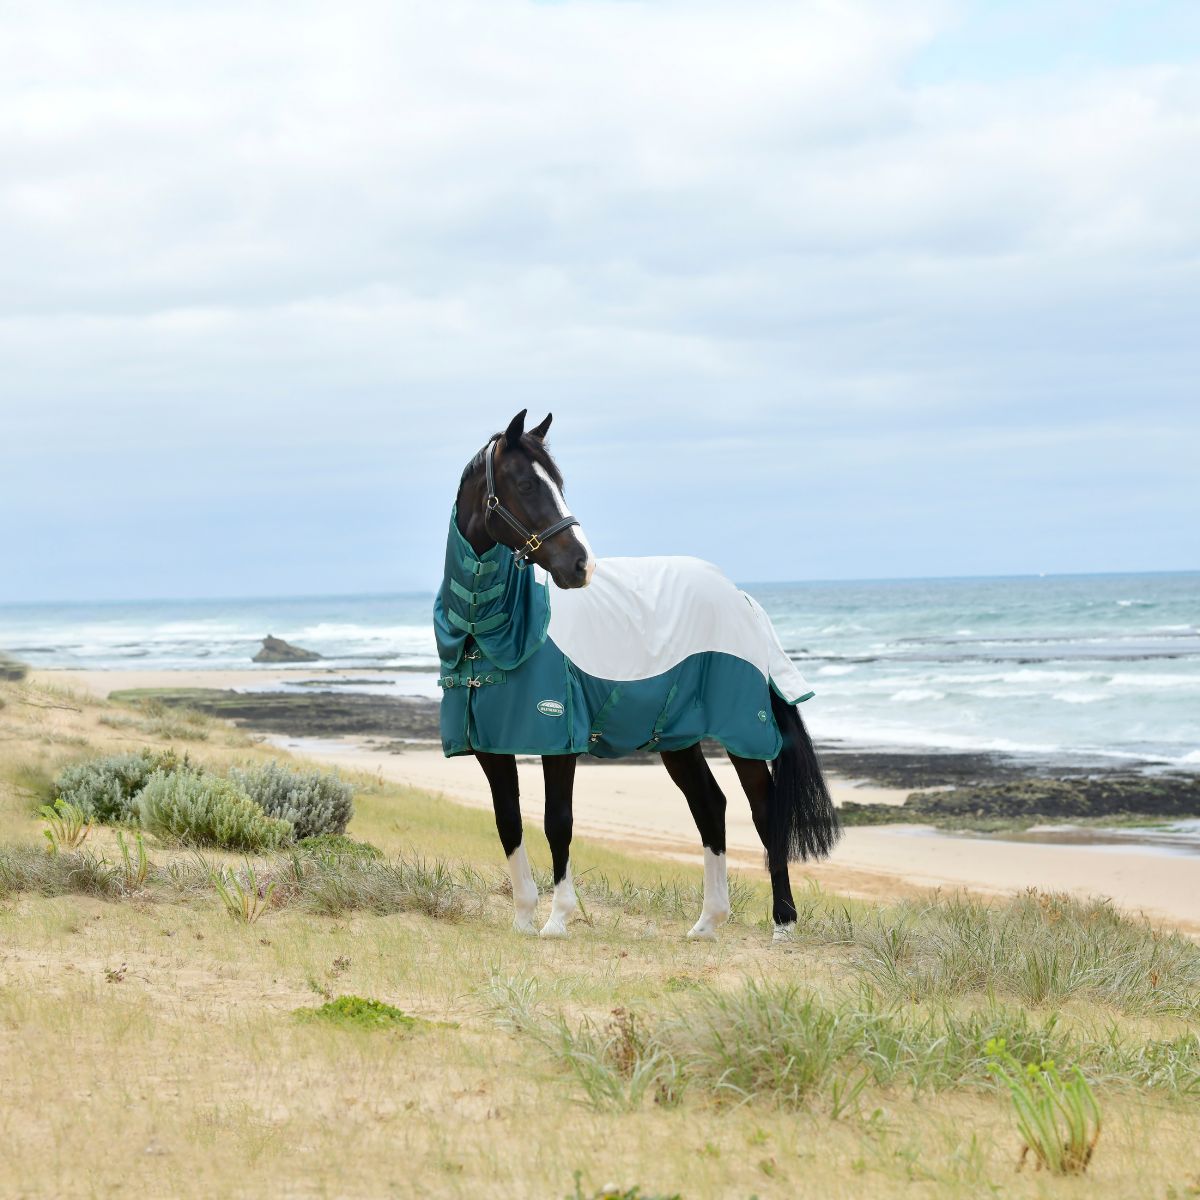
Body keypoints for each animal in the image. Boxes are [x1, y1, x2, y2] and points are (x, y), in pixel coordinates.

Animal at [434, 409, 840, 940]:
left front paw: (557, 919)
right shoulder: (490, 745)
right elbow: (509, 822)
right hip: (678, 736)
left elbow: (557, 821)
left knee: (765, 810)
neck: (488, 627)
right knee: (710, 806)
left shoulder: (559, 739)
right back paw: (708, 922)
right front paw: (523, 916)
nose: (581, 565)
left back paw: (783, 923)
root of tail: (740, 596)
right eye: (525, 484)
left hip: (742, 731)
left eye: (557, 483)